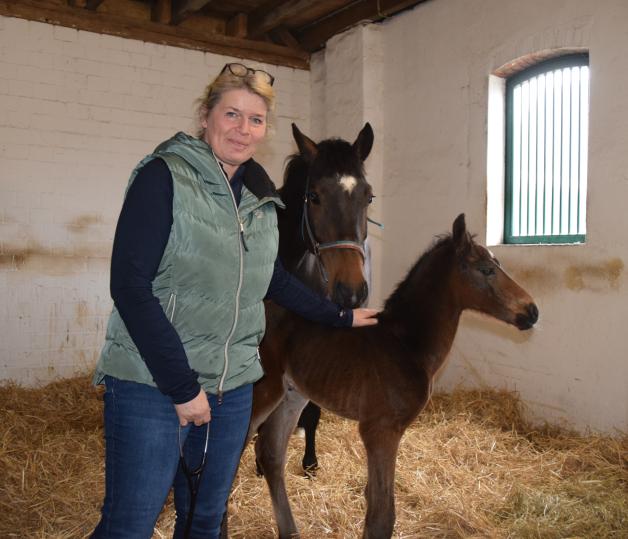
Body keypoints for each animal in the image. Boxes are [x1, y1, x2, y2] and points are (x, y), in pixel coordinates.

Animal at [249, 213, 539, 539]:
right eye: (487, 269)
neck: (405, 343)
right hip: (262, 392)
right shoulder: (380, 429)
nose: (532, 311)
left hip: (291, 395)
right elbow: (381, 514)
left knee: (270, 454)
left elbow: (376, 505)